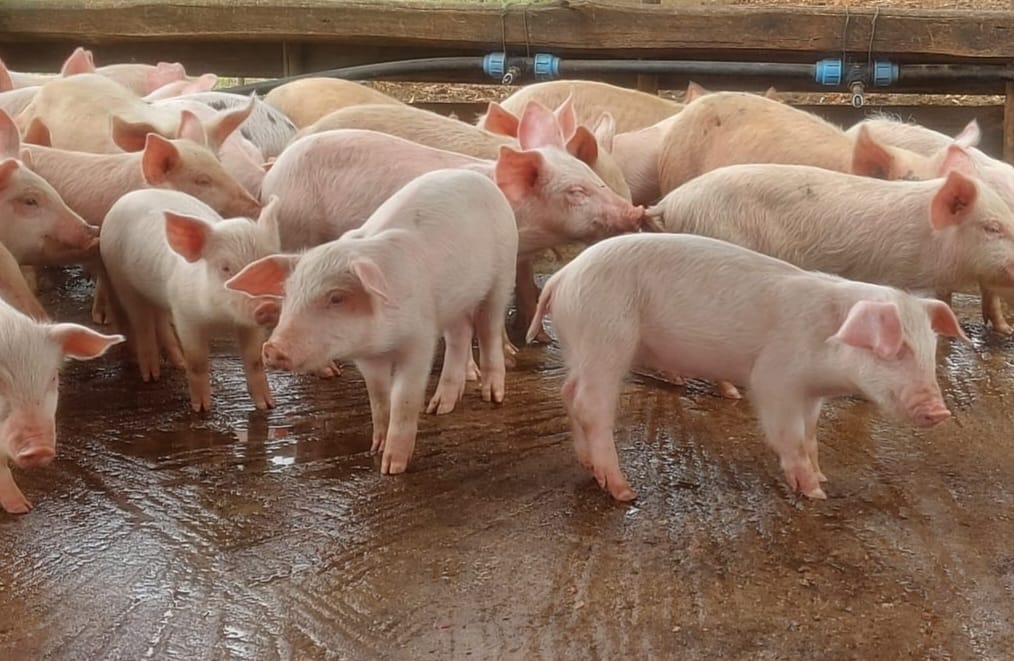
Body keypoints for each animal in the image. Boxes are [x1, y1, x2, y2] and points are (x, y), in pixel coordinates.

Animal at [100, 190, 281, 411]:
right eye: (225, 268)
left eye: (269, 263)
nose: (268, 305)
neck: (222, 319)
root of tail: (126, 196)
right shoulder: (185, 314)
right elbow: (197, 361)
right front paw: (201, 408)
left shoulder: (250, 325)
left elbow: (254, 359)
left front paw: (267, 406)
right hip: (120, 279)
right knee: (142, 324)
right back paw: (151, 376)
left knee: (160, 319)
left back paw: (179, 364)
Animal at [226, 169, 518, 473]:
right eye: (288, 291)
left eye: (336, 298)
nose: (272, 349)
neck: (381, 344)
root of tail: (475, 175)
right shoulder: (367, 358)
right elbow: (378, 397)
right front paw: (375, 448)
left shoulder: (420, 340)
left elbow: (403, 398)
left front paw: (391, 468)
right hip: (454, 303)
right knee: (459, 336)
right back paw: (439, 407)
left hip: (503, 274)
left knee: (488, 330)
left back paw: (492, 396)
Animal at [527, 233, 963, 501]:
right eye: (895, 349)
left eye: (928, 350)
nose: (940, 411)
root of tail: (562, 277)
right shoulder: (775, 380)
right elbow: (789, 436)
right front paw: (815, 492)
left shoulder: (811, 395)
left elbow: (810, 436)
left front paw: (822, 476)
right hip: (605, 337)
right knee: (591, 406)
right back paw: (623, 491)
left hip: (582, 346)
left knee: (569, 393)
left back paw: (590, 466)